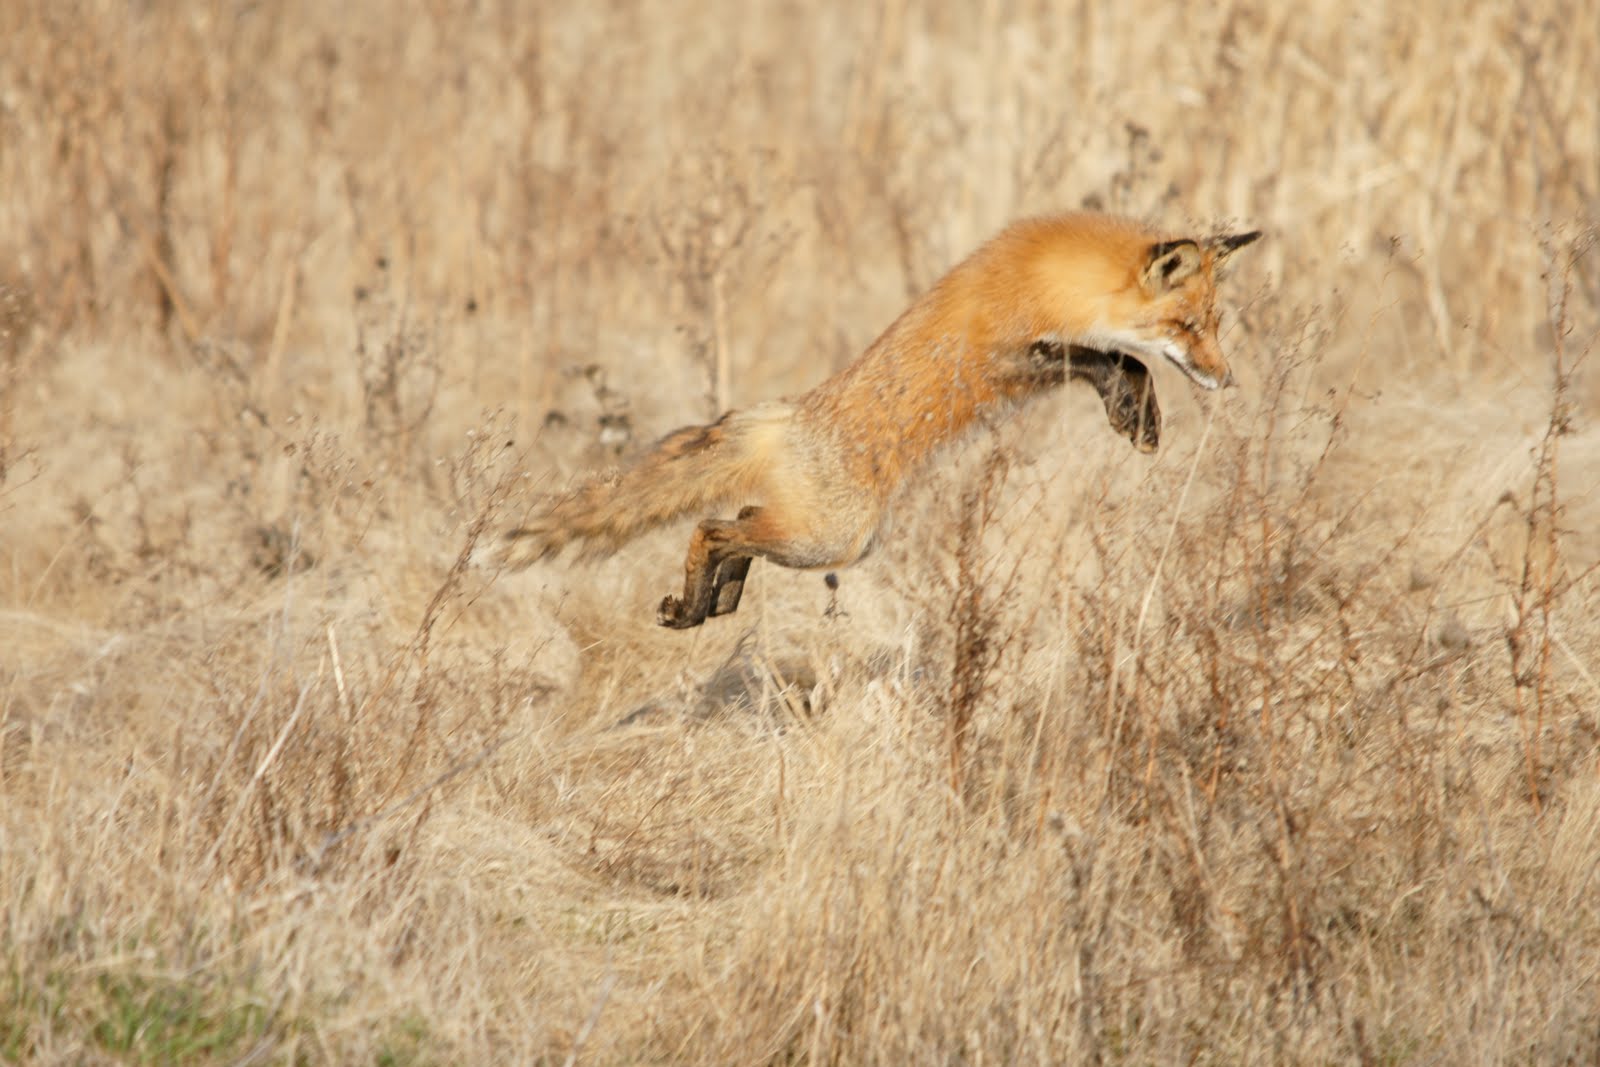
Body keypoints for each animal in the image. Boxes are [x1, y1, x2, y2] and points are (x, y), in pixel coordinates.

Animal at [502, 212, 1261, 628]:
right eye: (1187, 327)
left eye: (1216, 324)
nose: (1230, 379)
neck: (1052, 278)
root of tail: (784, 419)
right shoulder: (1013, 352)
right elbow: (1113, 360)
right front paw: (1136, 413)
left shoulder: (1040, 356)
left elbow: (1118, 362)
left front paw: (1139, 416)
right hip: (832, 541)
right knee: (711, 528)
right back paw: (694, 605)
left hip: (818, 536)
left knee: (738, 524)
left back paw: (715, 602)